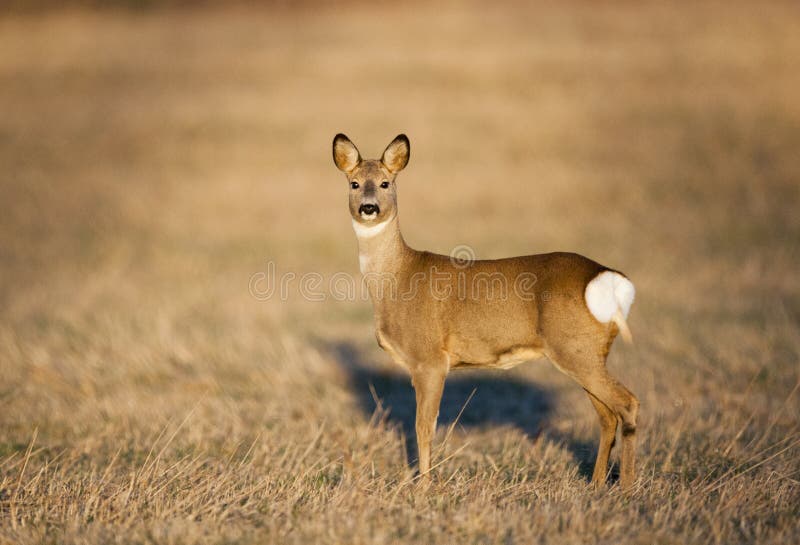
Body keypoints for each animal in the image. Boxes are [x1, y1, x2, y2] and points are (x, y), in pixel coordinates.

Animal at [332, 133, 639, 488]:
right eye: (354, 183)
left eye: (385, 182)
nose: (369, 207)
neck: (398, 278)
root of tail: (610, 279)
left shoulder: (429, 358)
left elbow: (424, 427)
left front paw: (423, 487)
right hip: (585, 352)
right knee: (607, 415)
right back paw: (597, 483)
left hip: (576, 350)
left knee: (627, 403)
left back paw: (626, 487)